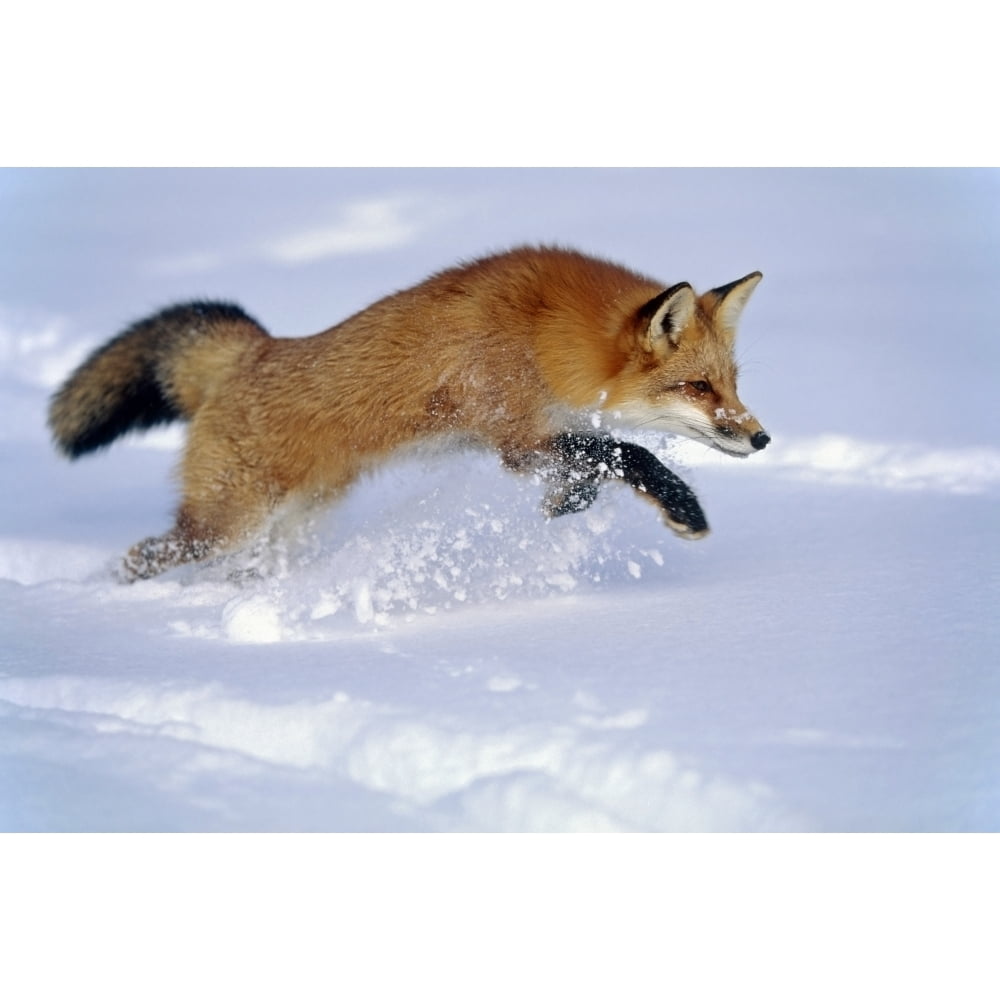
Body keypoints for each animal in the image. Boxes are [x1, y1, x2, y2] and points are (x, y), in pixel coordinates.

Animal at [48, 245, 769, 582]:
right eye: (698, 386)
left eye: (732, 384)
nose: (762, 439)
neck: (542, 334)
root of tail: (253, 349)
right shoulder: (514, 434)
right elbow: (630, 453)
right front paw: (684, 509)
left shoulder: (541, 435)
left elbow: (600, 461)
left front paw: (566, 504)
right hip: (225, 525)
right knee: (142, 556)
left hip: (292, 525)